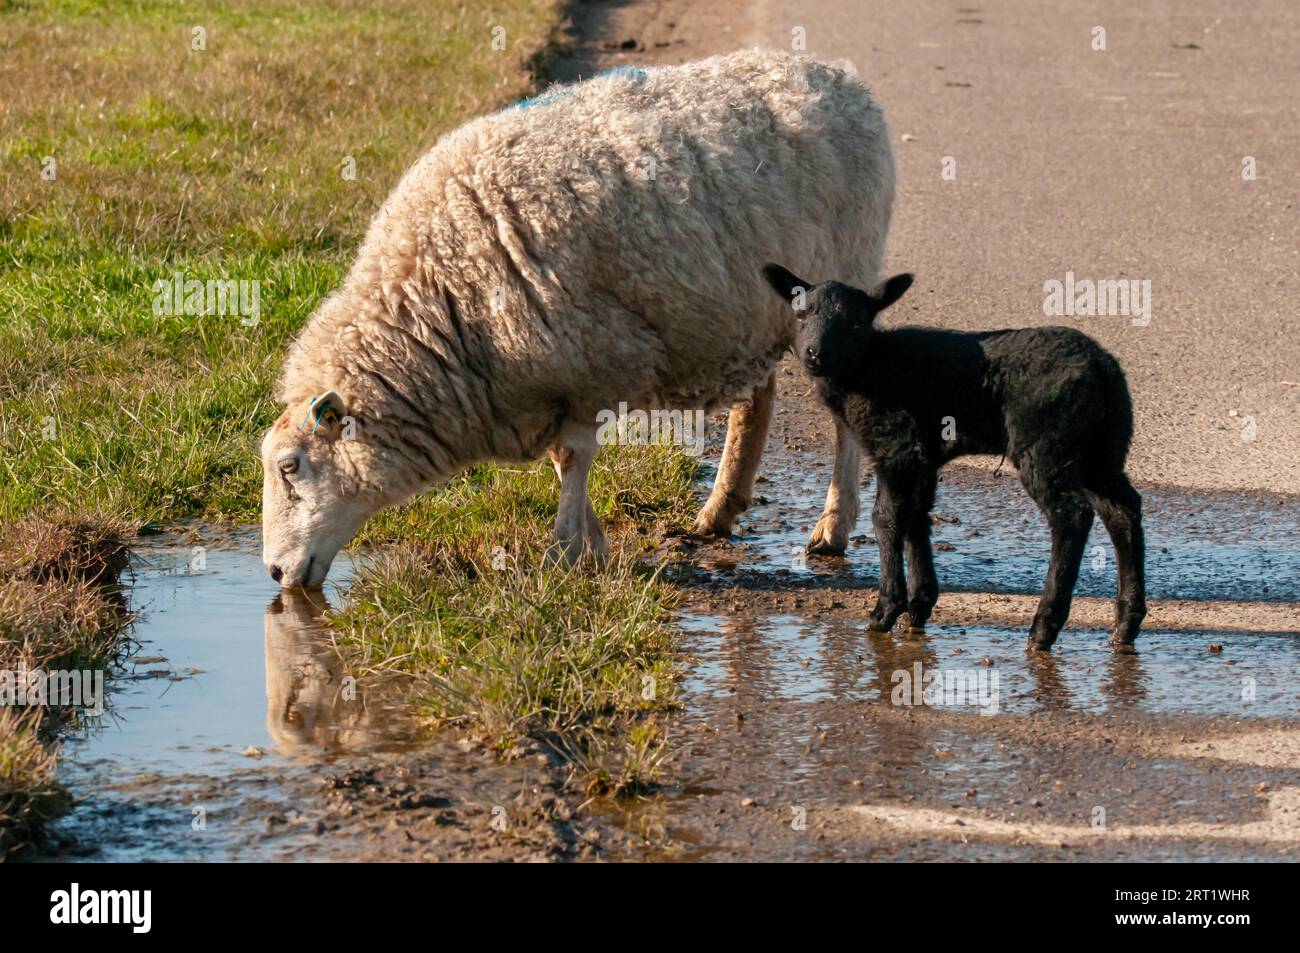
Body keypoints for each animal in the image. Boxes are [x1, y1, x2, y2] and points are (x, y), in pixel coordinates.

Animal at [261, 50, 897, 589]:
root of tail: (839, 78)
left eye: (291, 467)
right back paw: (720, 510)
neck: (442, 305)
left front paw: (565, 554)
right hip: (750, 309)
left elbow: (571, 458)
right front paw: (594, 545)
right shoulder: (547, 384)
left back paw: (832, 527)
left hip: (839, 279)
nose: (273, 572)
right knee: (756, 400)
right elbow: (561, 460)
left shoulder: (593, 362)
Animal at [762, 264, 1147, 651]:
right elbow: (917, 515)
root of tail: (1102, 368)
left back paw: (1044, 627)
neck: (872, 365)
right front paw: (919, 606)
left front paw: (885, 611)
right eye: (800, 314)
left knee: (1071, 517)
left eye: (856, 323)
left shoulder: (895, 442)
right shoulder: (923, 455)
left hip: (1047, 443)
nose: (816, 353)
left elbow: (886, 518)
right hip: (1102, 446)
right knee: (1122, 511)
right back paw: (1125, 624)